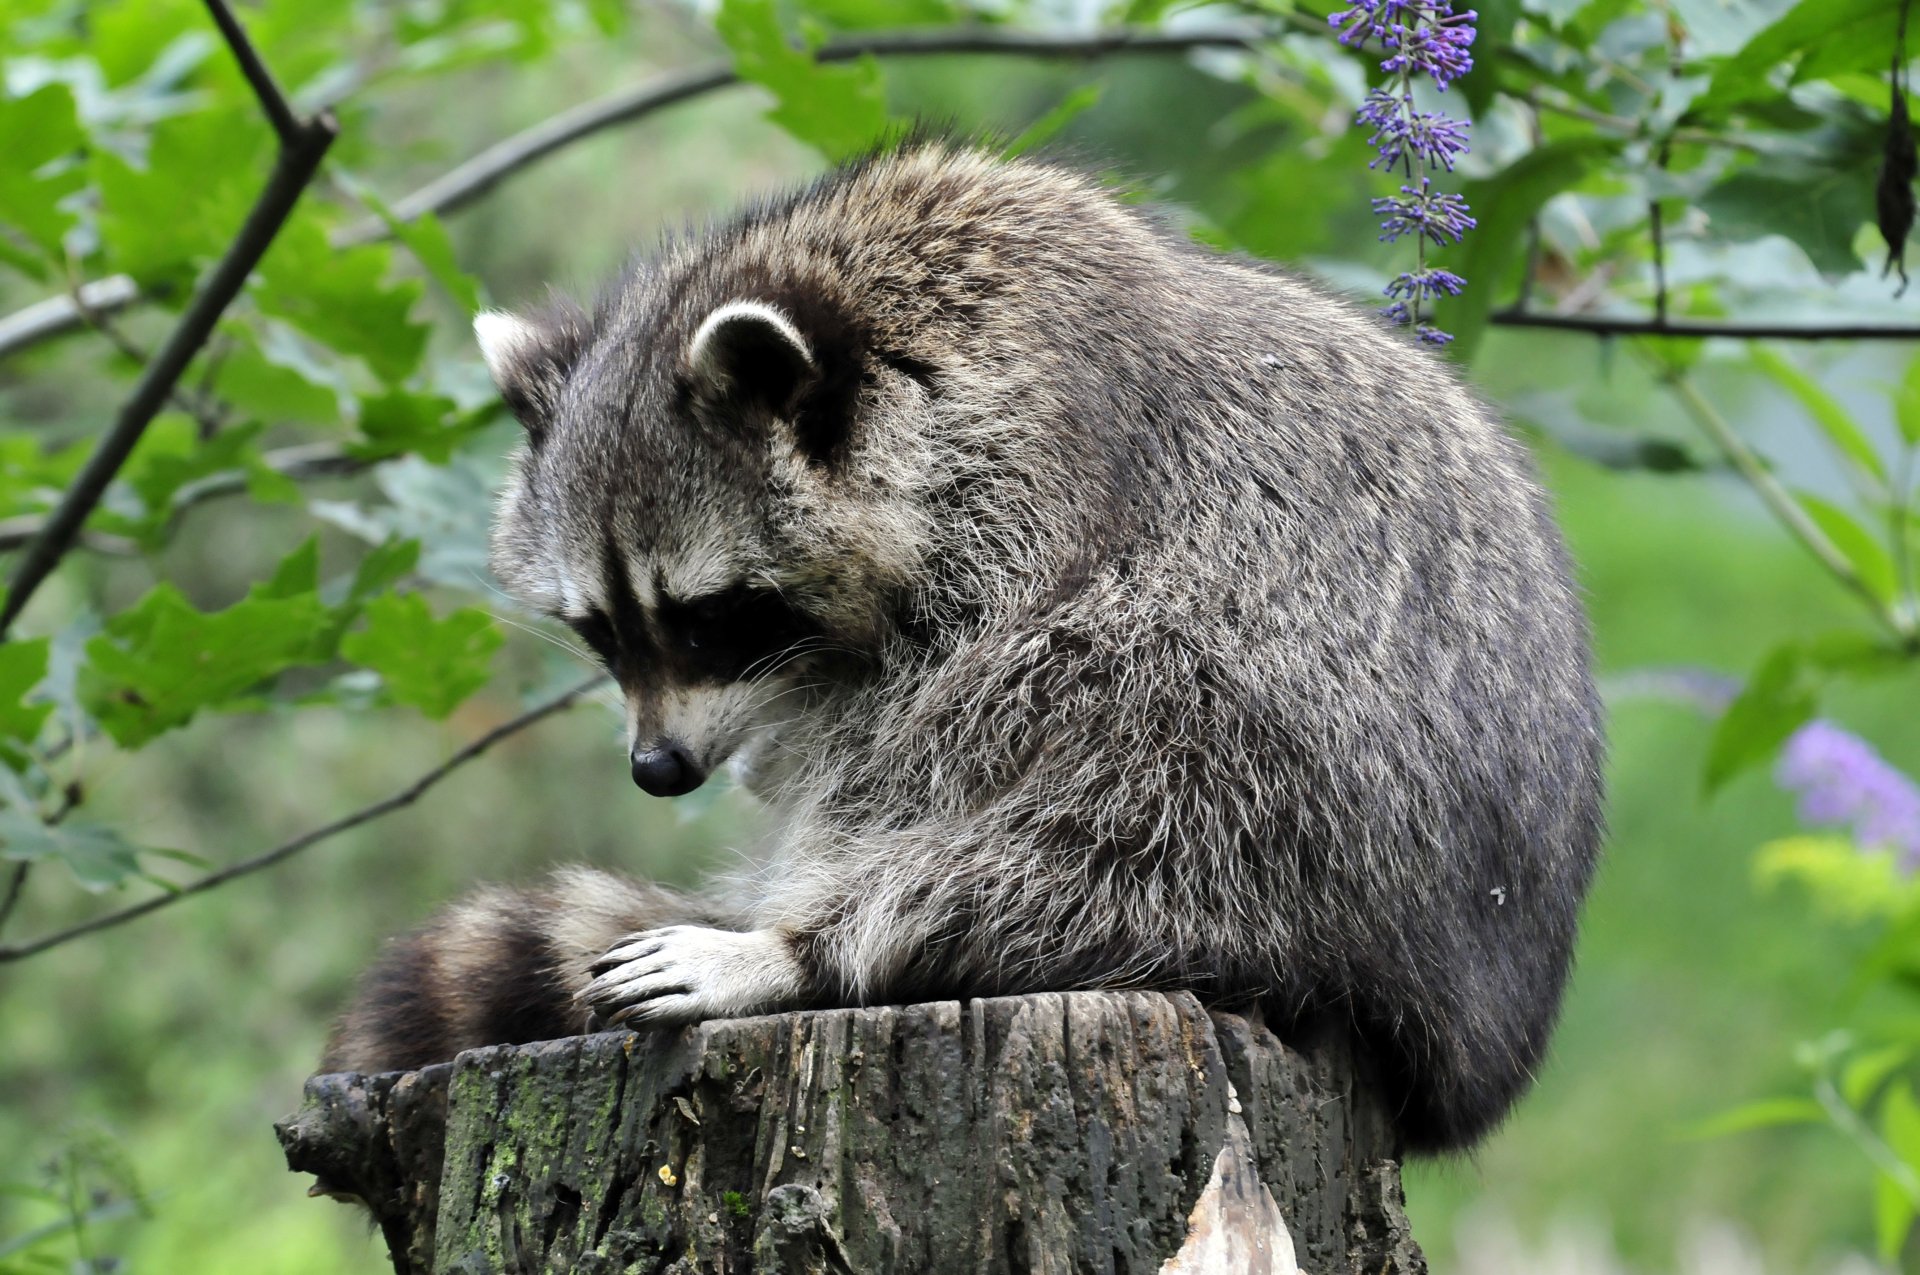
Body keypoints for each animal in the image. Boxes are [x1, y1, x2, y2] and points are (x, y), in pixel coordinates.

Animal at [324, 144, 1604, 1153]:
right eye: (600, 629)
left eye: (710, 616)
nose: (657, 770)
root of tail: (1479, 1042)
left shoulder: (1042, 493)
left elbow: (931, 735)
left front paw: (799, 936)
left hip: (1309, 790)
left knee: (1131, 773)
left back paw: (820, 945)